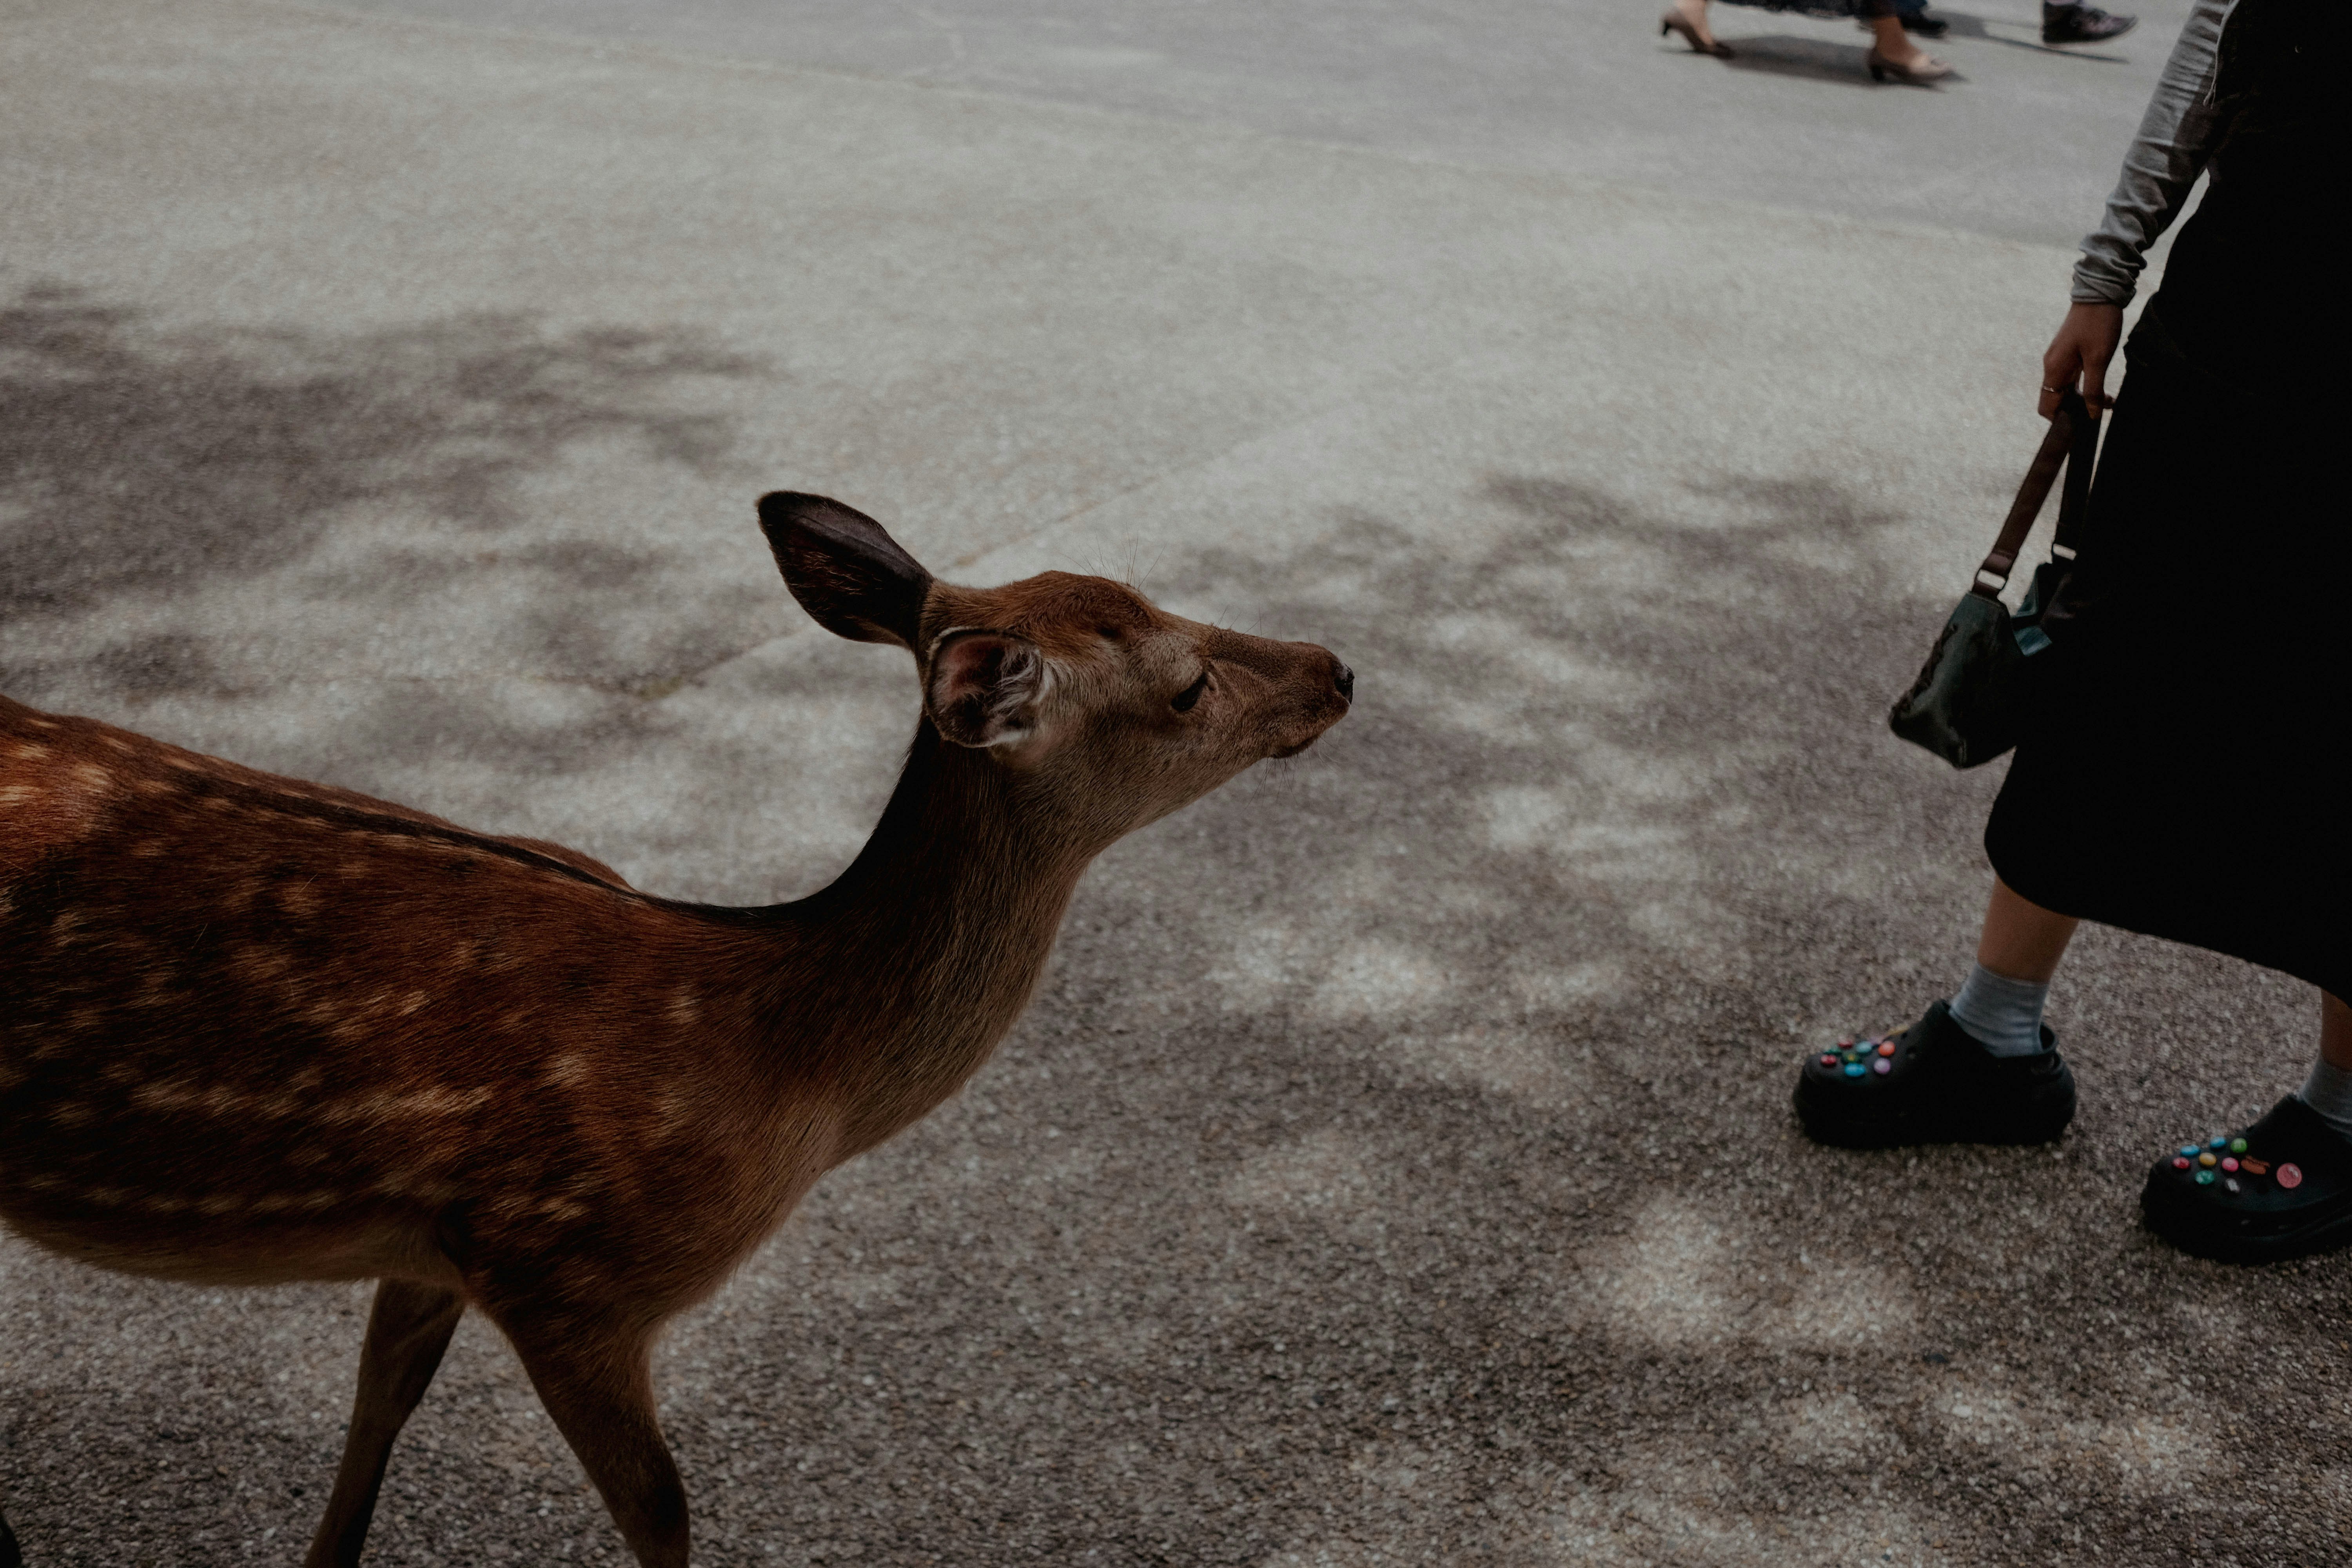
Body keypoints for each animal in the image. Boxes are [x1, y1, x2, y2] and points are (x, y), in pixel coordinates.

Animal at [0, 492, 1353, 1567]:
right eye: (1184, 685)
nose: (1335, 667)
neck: (781, 1066)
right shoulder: (569, 1273)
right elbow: (664, 1512)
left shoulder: (439, 1246)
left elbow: (376, 1411)